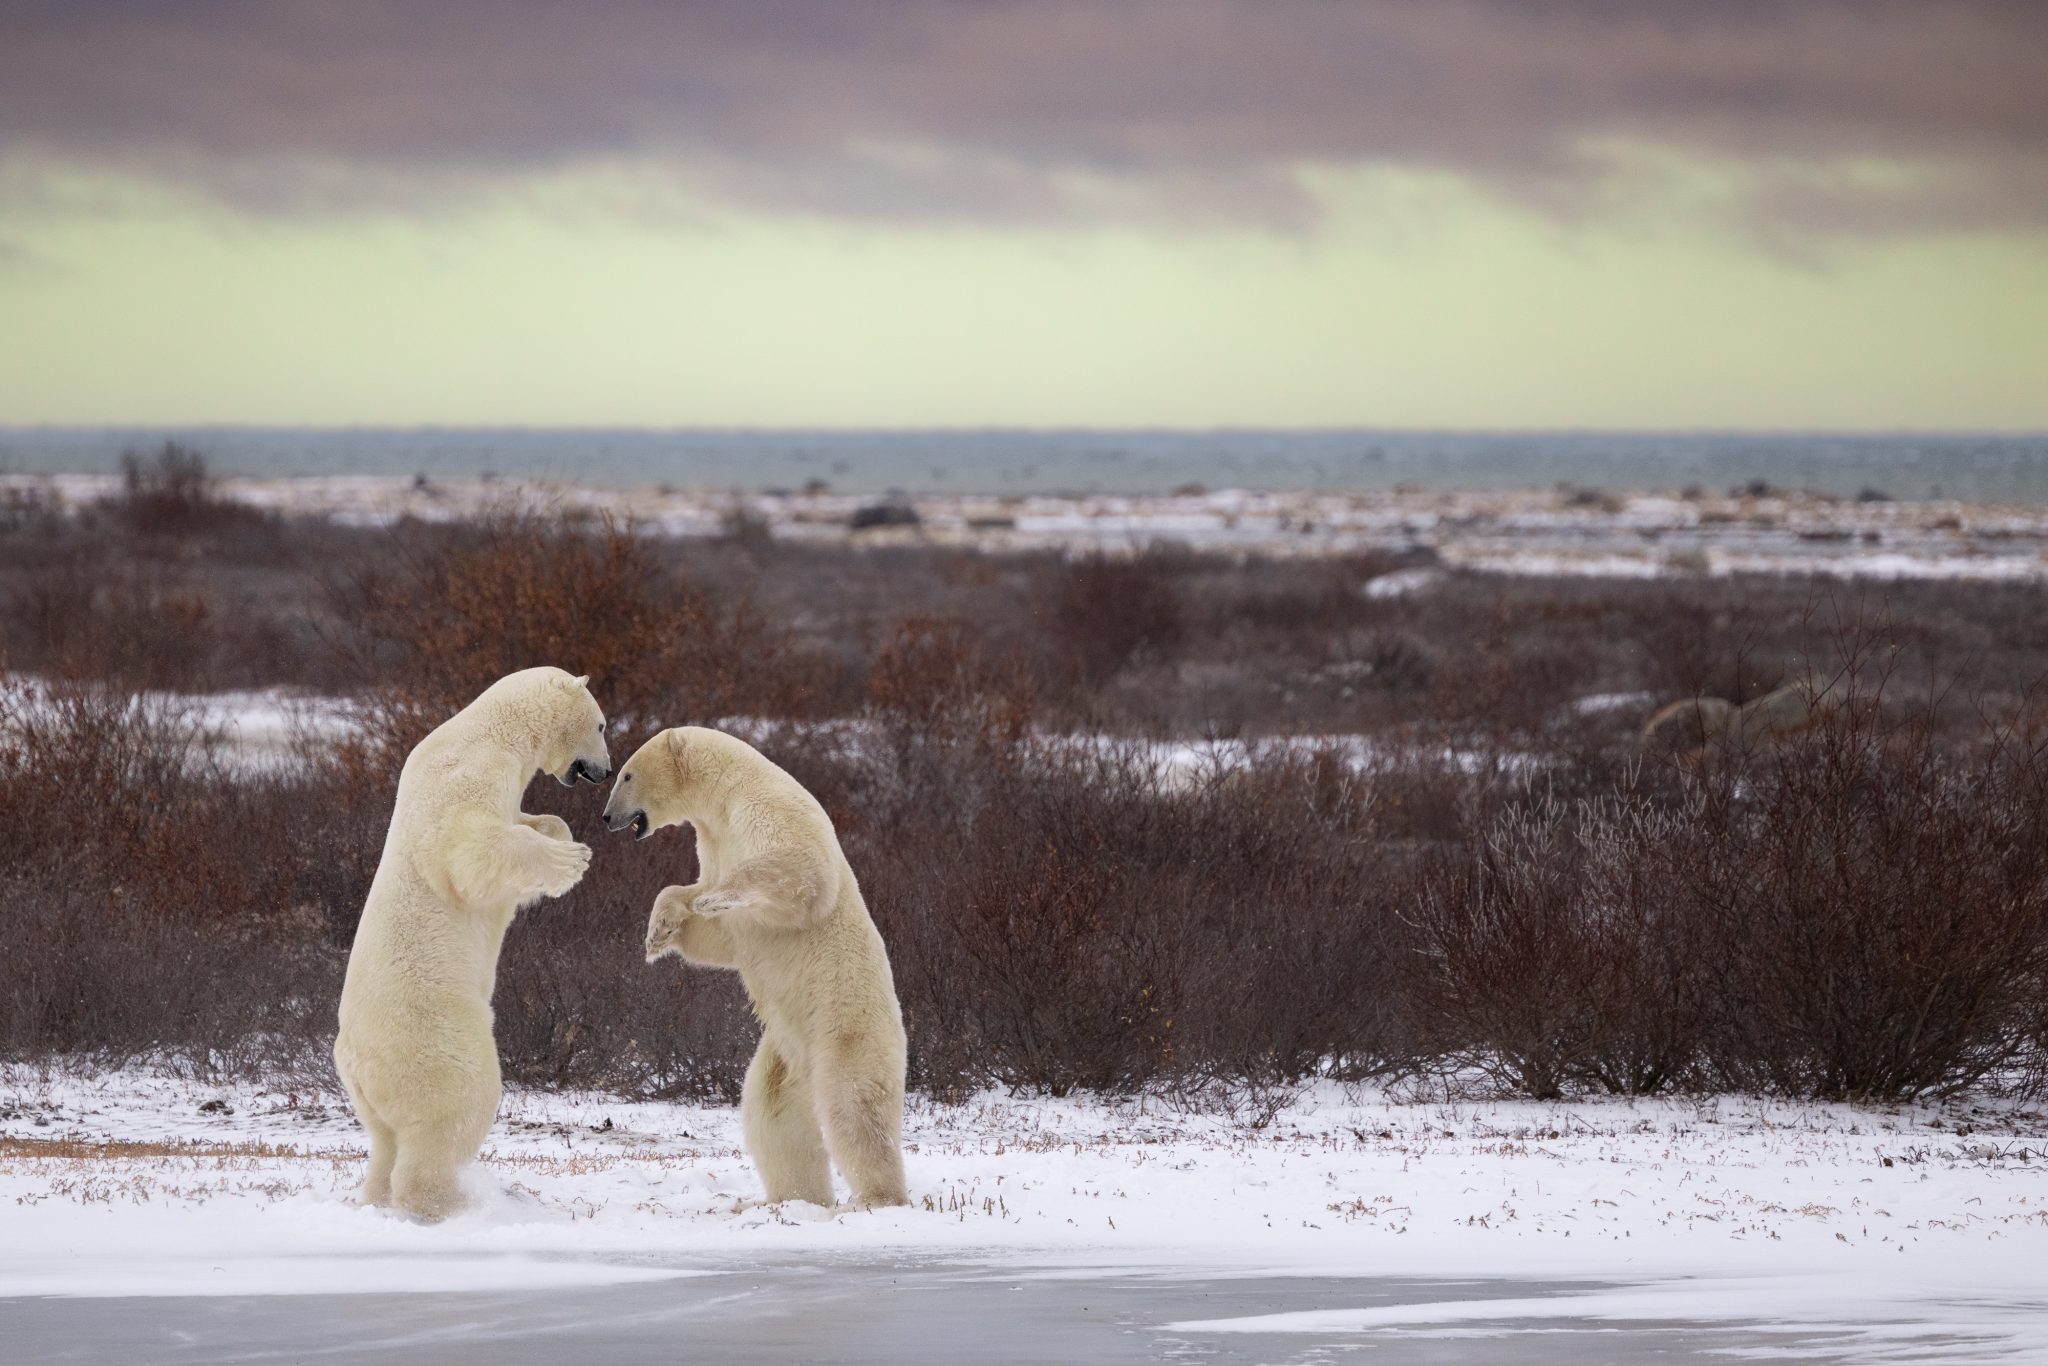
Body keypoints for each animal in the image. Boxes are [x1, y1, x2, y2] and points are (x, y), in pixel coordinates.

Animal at [333, 666, 611, 1221]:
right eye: (601, 724)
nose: (606, 770)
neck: (488, 732)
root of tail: (356, 1061)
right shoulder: (466, 778)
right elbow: (470, 849)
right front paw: (570, 860)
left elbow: (526, 822)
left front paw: (559, 834)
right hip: (434, 1039)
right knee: (456, 1107)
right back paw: (455, 1202)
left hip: (368, 1093)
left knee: (384, 1138)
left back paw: (378, 1198)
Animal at [603, 726, 909, 1210]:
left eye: (627, 774)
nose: (606, 817)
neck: (727, 792)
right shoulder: (712, 841)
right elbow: (717, 933)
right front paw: (659, 931)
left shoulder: (768, 809)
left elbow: (802, 871)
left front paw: (716, 898)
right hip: (783, 1055)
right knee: (774, 1116)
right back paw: (781, 1200)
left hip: (847, 1032)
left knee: (854, 1108)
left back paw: (875, 1200)